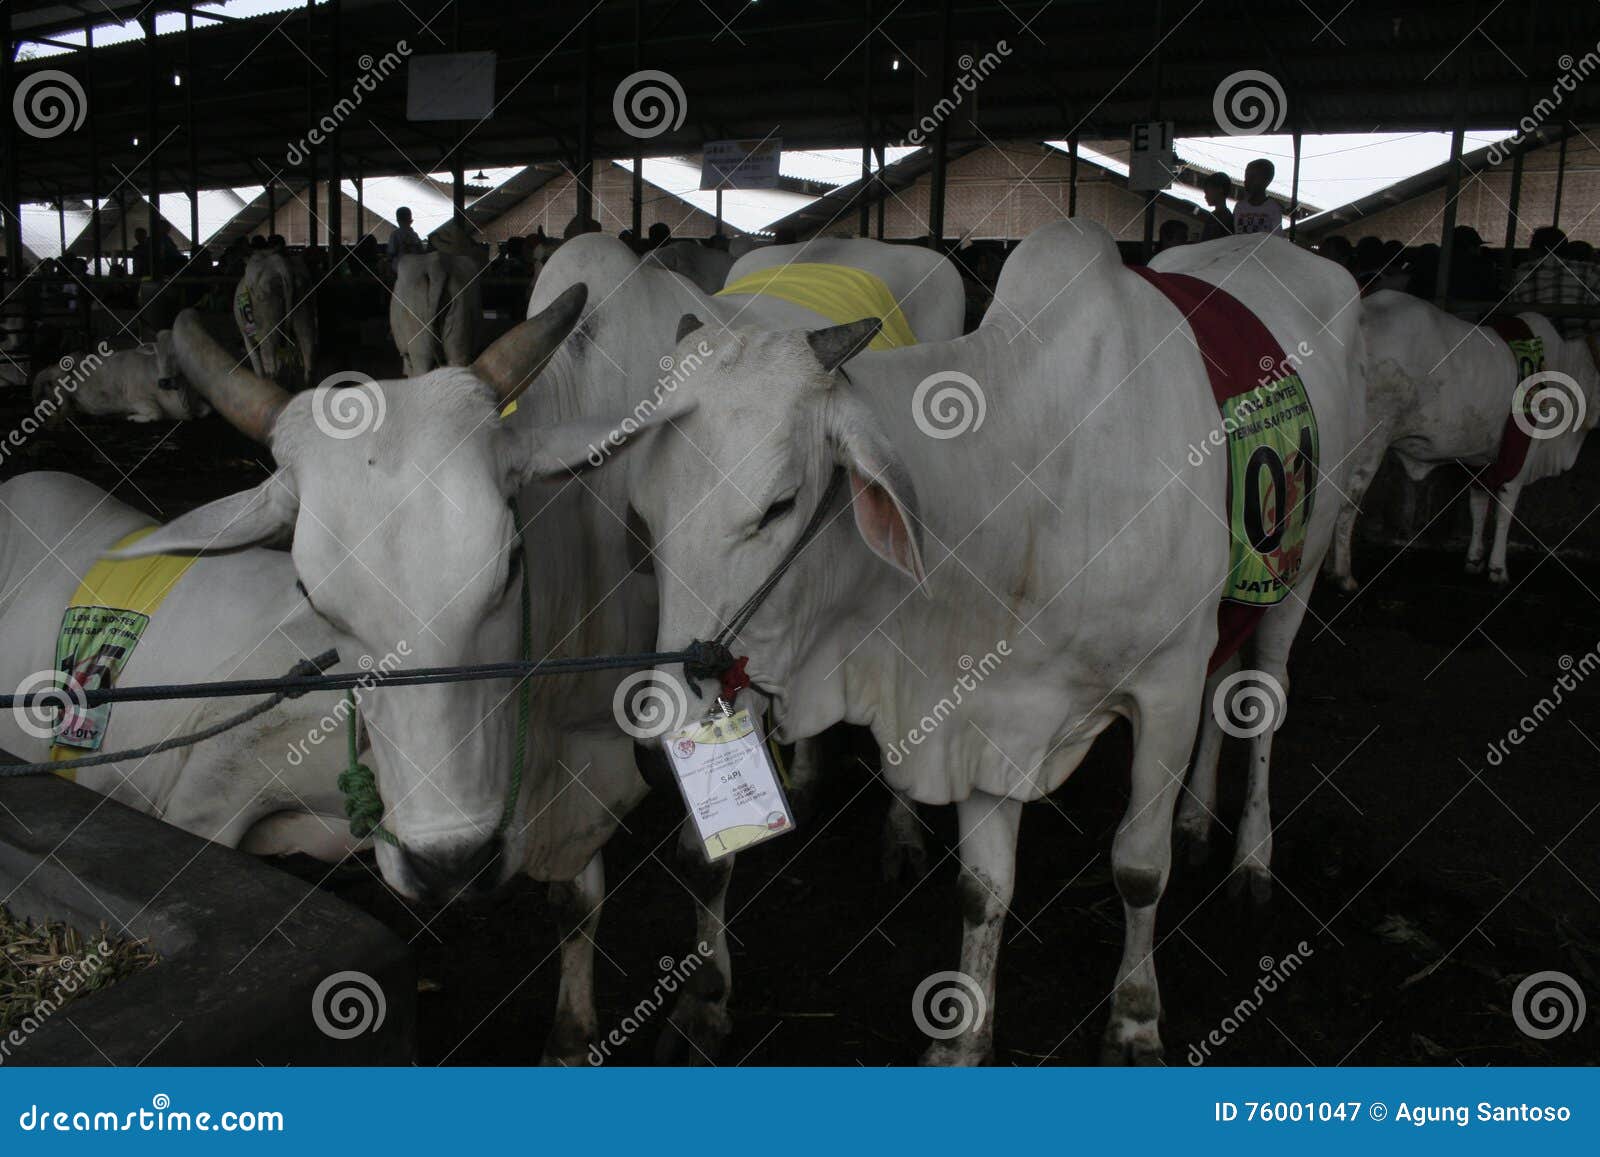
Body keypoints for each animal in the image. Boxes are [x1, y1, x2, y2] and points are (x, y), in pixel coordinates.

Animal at [30, 332, 212, 424]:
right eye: (158, 353)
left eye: (179, 355)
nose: (164, 382)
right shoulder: (136, 398)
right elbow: (157, 414)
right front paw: (132, 417)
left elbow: (207, 411)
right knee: (63, 411)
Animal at [234, 251, 316, 389]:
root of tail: (283, 265)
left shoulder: (245, 332)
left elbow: (254, 355)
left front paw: (260, 378)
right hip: (304, 301)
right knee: (306, 339)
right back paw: (307, 382)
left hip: (267, 302)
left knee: (268, 345)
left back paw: (272, 378)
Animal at [583, 222, 1363, 1063]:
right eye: (644, 513)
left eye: (781, 504)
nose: (664, 713)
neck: (1041, 482)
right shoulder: (991, 707)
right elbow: (982, 888)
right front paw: (962, 1040)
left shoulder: (1166, 686)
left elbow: (1137, 868)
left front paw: (1135, 1019)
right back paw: (1196, 818)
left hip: (1296, 575)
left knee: (1262, 699)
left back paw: (1251, 856)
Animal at [1329, 290, 1600, 589]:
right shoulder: (1521, 455)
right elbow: (1506, 509)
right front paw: (1498, 568)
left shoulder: (1479, 459)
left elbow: (1478, 504)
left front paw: (1474, 559)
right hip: (1371, 439)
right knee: (1347, 499)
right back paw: (1344, 575)